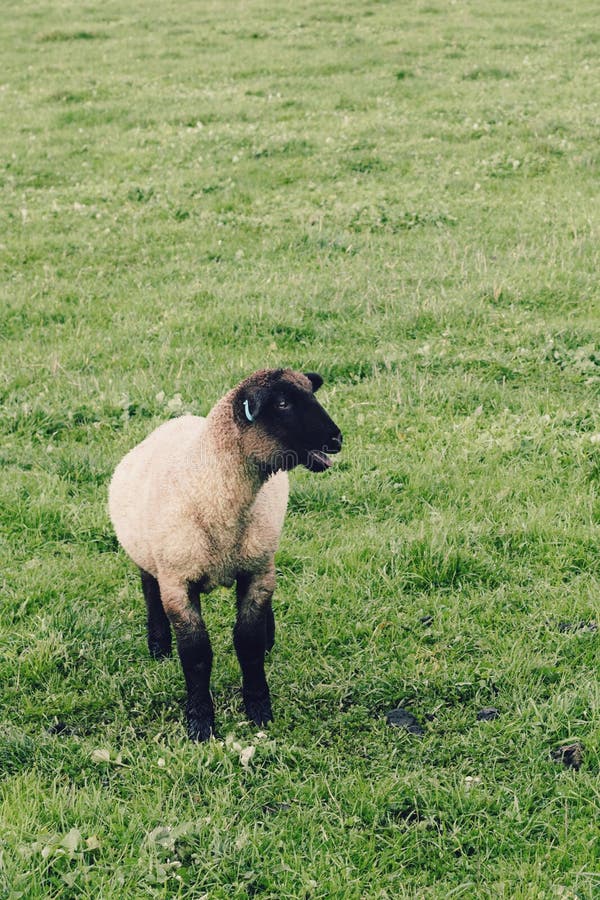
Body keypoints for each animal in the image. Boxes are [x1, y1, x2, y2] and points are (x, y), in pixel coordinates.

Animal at [108, 368, 342, 740]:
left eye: (311, 392)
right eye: (282, 403)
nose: (336, 439)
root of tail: (180, 420)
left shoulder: (256, 572)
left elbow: (248, 644)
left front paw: (259, 709)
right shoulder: (178, 582)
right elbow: (196, 655)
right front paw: (201, 723)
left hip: (263, 552)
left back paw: (269, 639)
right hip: (148, 554)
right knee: (149, 590)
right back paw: (158, 646)